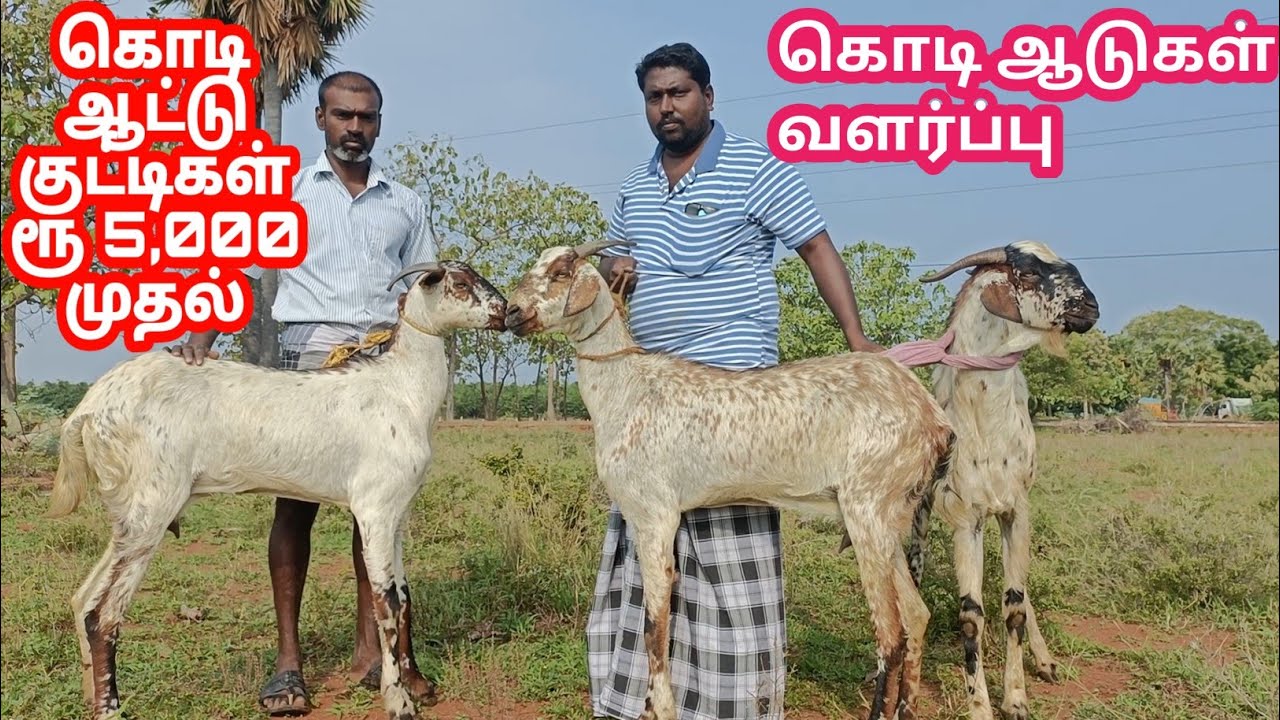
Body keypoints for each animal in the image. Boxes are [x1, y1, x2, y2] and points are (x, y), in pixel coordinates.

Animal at [47, 261, 508, 720]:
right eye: (460, 284)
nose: (506, 310)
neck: (401, 391)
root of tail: (88, 408)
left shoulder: (397, 511)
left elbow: (405, 595)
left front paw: (419, 684)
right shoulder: (375, 508)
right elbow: (387, 602)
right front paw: (398, 700)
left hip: (129, 512)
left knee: (83, 599)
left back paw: (90, 694)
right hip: (153, 502)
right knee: (104, 614)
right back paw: (110, 707)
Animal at [906, 242, 1099, 720]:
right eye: (1027, 273)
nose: (1090, 307)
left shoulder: (1017, 511)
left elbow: (1014, 606)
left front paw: (1015, 698)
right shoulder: (965, 518)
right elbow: (970, 616)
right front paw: (979, 705)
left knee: (1021, 593)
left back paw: (1045, 661)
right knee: (914, 570)